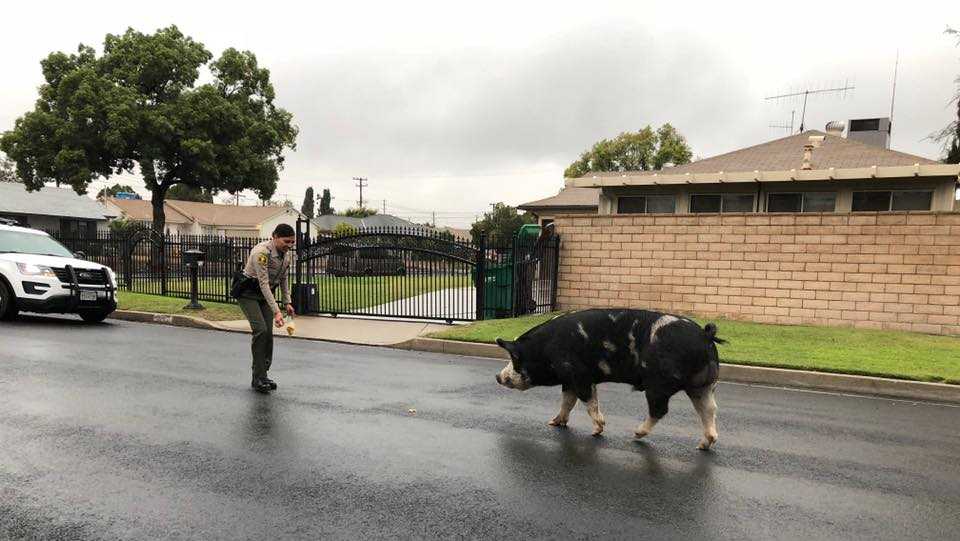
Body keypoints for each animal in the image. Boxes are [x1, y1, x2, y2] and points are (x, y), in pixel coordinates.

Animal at [495, 309, 725, 450]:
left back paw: (636, 434)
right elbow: (567, 402)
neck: (546, 349)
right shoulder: (569, 380)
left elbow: (589, 402)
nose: (498, 377)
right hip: (703, 386)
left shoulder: (580, 375)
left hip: (658, 384)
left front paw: (597, 430)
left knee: (660, 410)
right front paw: (553, 423)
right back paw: (703, 445)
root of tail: (705, 335)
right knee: (709, 409)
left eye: (515, 358)